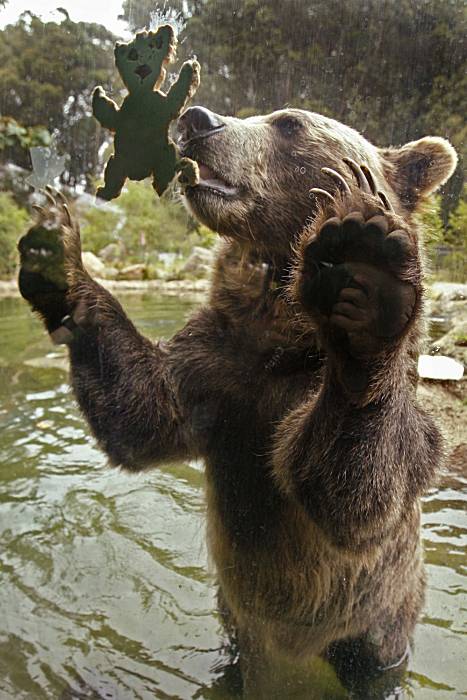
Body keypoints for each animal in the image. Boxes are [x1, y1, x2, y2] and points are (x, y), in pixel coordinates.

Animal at [18, 106, 457, 698]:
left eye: (289, 123)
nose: (198, 119)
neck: (281, 347)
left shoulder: (369, 433)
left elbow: (356, 495)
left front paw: (364, 279)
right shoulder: (218, 370)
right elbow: (143, 412)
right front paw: (55, 245)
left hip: (375, 622)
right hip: (232, 617)